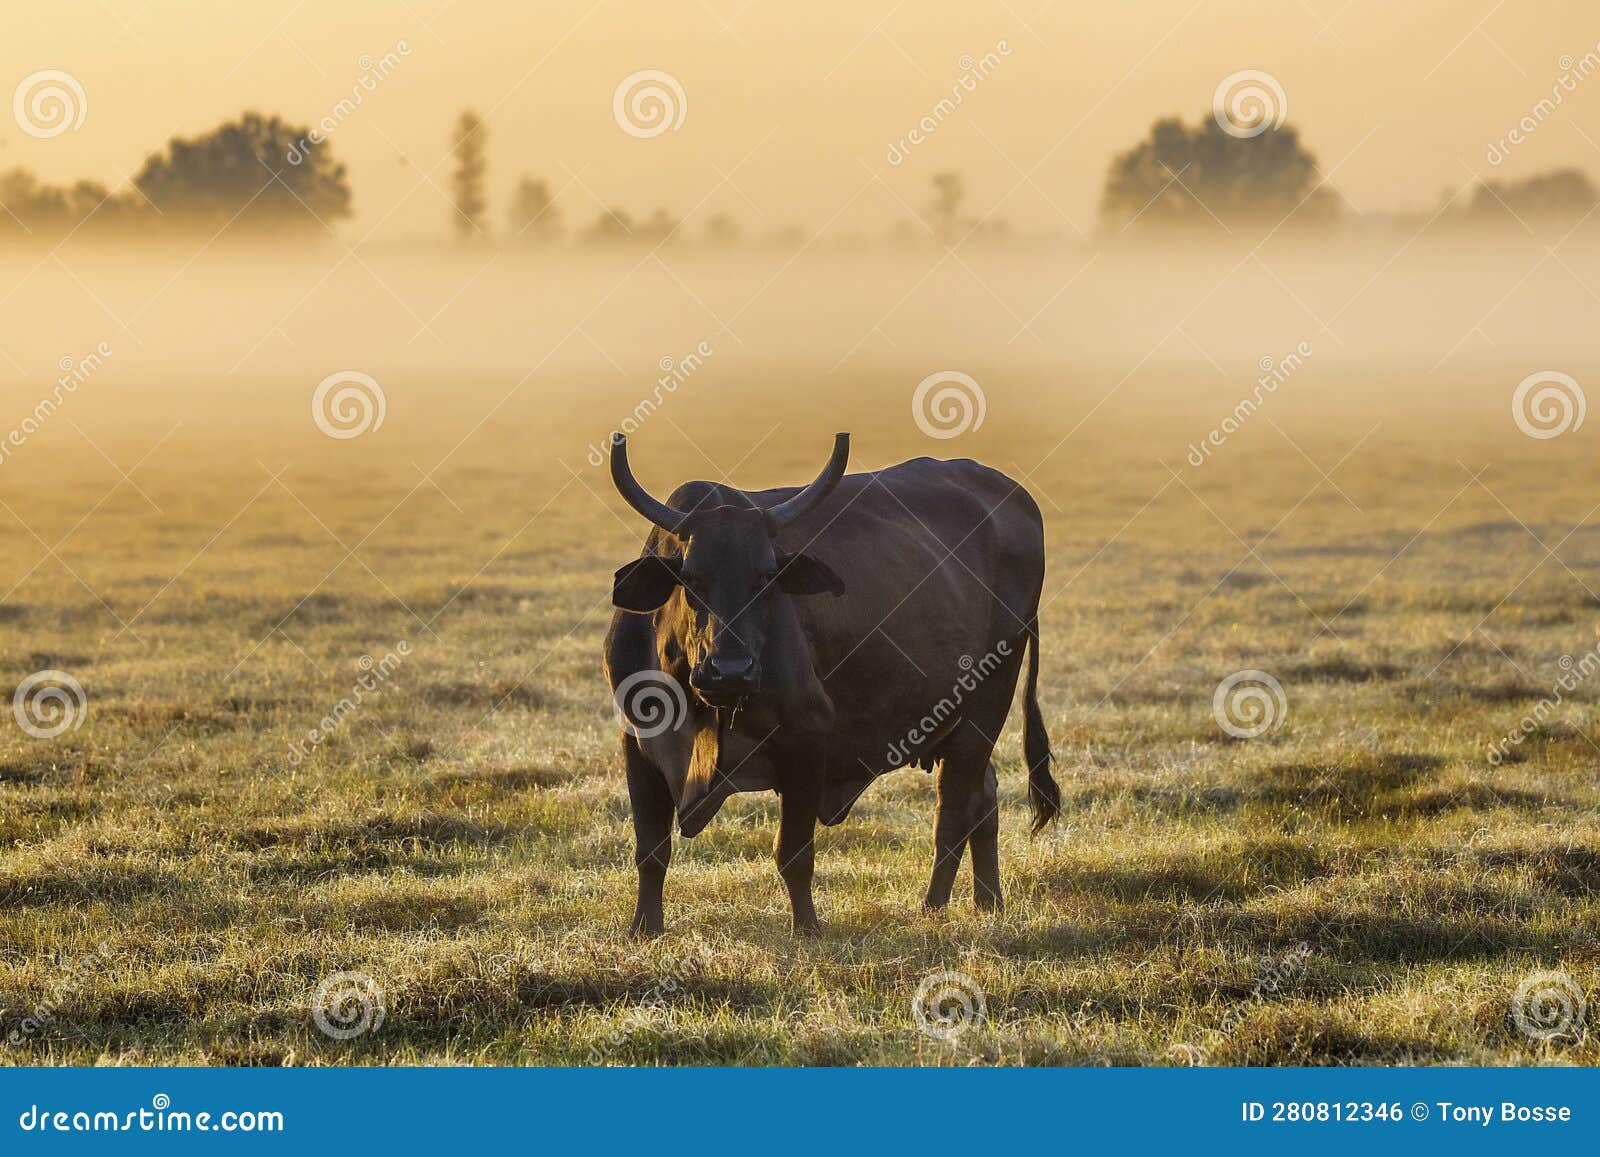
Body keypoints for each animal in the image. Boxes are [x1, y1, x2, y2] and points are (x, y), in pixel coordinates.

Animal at [602, 431, 1059, 935]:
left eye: (768, 576)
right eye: (691, 578)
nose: (731, 669)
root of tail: (1012, 495)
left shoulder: (807, 738)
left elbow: (793, 853)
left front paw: (807, 928)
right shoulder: (637, 742)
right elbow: (651, 850)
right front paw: (644, 928)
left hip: (987, 705)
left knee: (956, 807)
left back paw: (934, 907)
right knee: (984, 795)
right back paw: (988, 901)